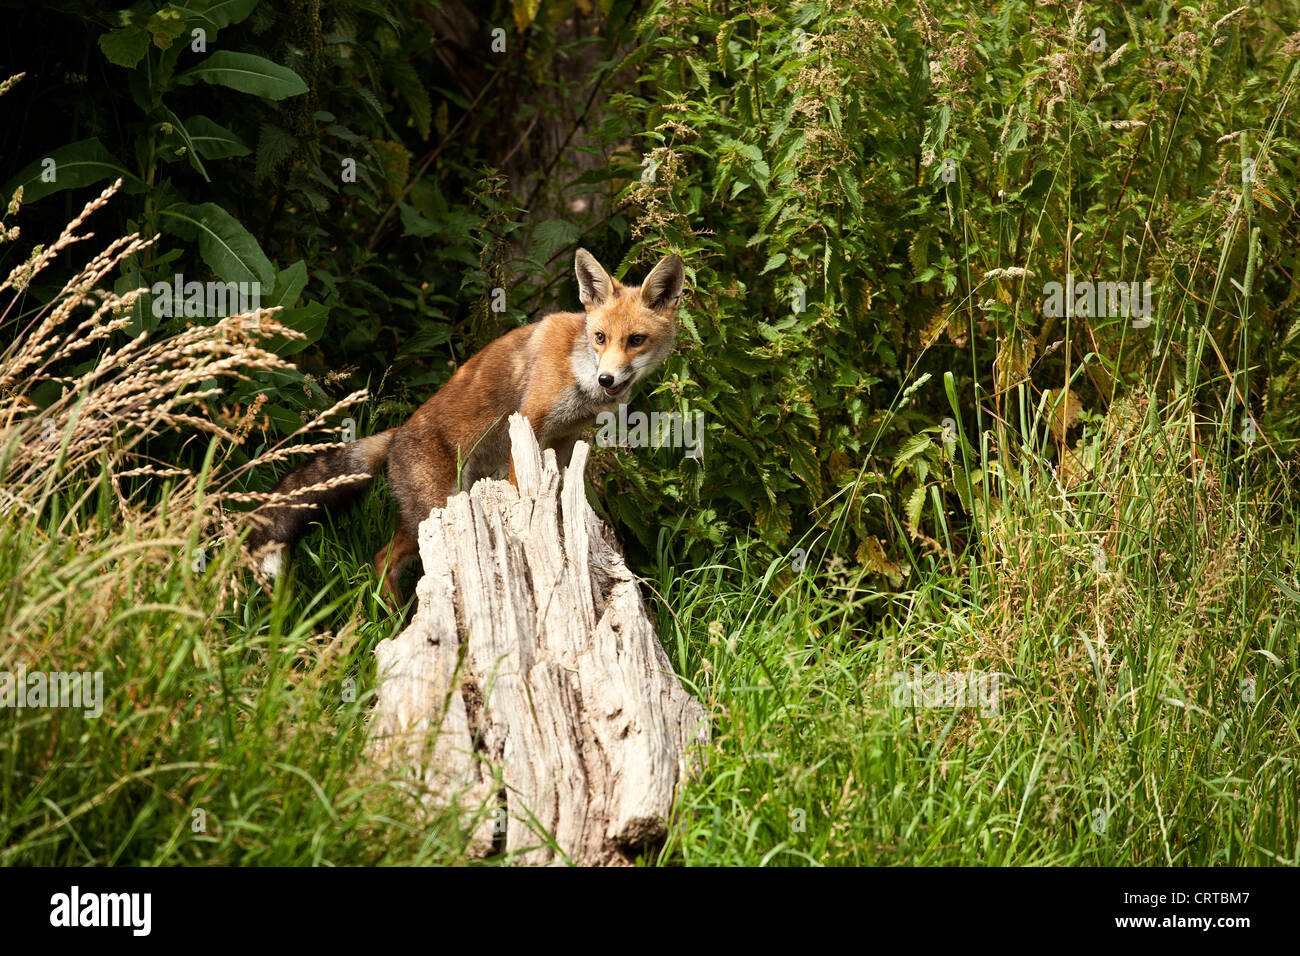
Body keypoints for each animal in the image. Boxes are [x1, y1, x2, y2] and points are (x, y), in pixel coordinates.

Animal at [245, 248, 685, 608]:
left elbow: (560, 487)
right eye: (600, 337)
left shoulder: (566, 438)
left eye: (636, 340)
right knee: (383, 559)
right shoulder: (528, 424)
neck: (578, 375)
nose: (607, 379)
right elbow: (521, 489)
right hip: (435, 508)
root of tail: (396, 434)